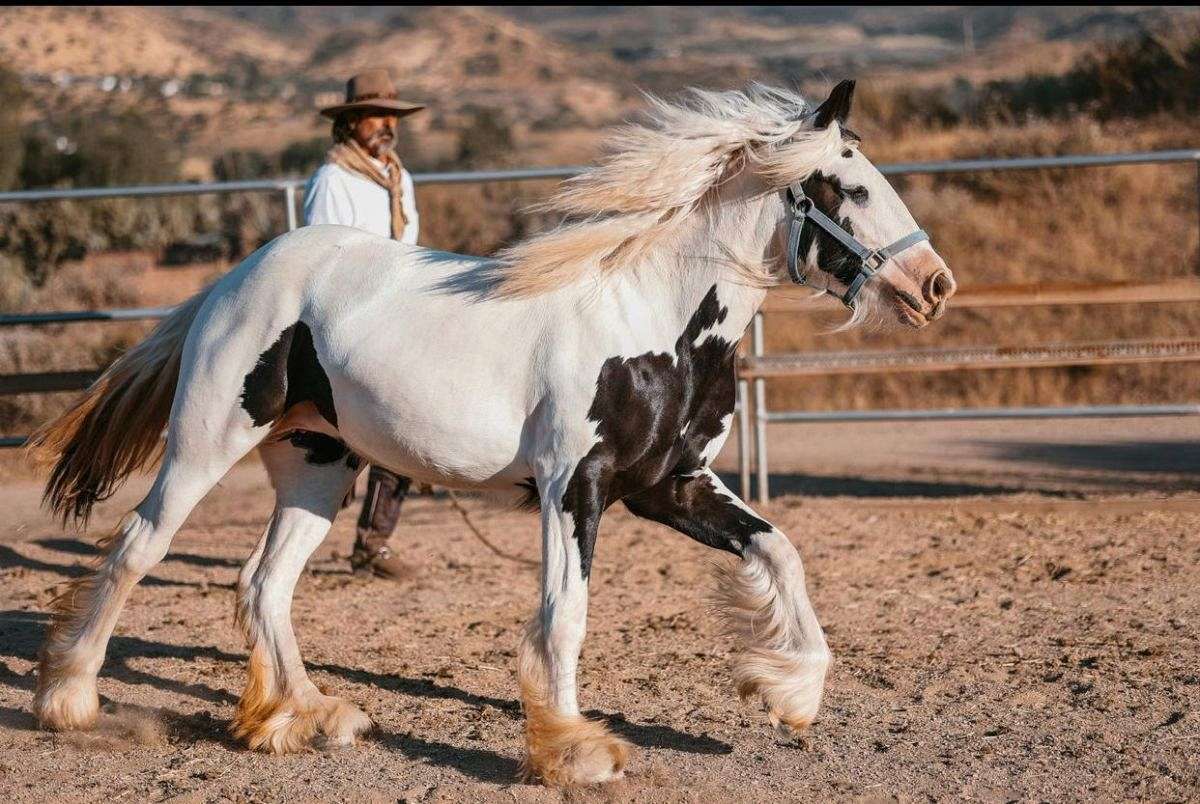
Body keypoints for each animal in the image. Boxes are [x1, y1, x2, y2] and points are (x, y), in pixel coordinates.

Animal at [28, 80, 955, 785]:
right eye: (850, 188)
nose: (933, 284)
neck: (651, 319)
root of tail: (240, 275)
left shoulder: (671, 485)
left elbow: (779, 549)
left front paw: (790, 693)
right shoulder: (574, 488)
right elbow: (565, 615)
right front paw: (576, 753)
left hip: (318, 465)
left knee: (265, 583)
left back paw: (304, 719)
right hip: (207, 441)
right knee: (140, 546)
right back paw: (71, 702)